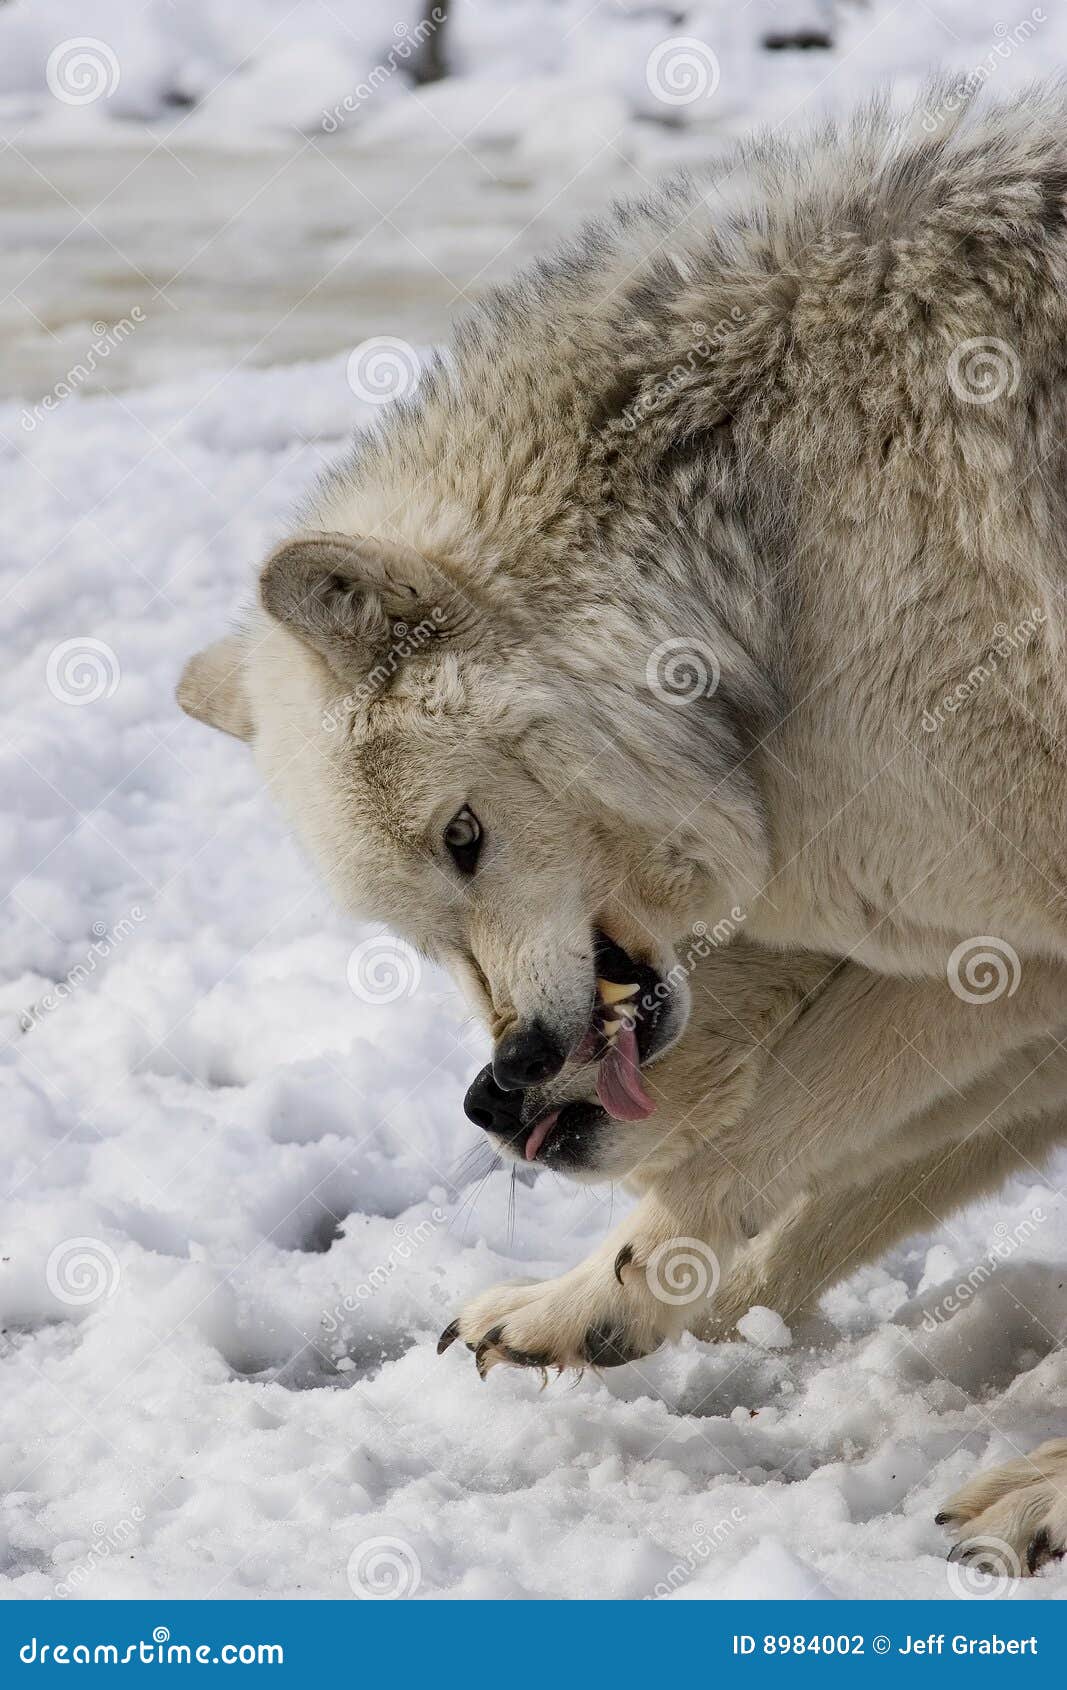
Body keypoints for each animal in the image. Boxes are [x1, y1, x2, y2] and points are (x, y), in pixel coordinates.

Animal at [179, 85, 1067, 1574]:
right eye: (413, 930)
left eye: (465, 838)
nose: (499, 1088)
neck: (767, 591)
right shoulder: (997, 975)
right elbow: (786, 1173)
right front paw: (578, 1308)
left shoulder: (991, 936)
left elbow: (757, 1137)